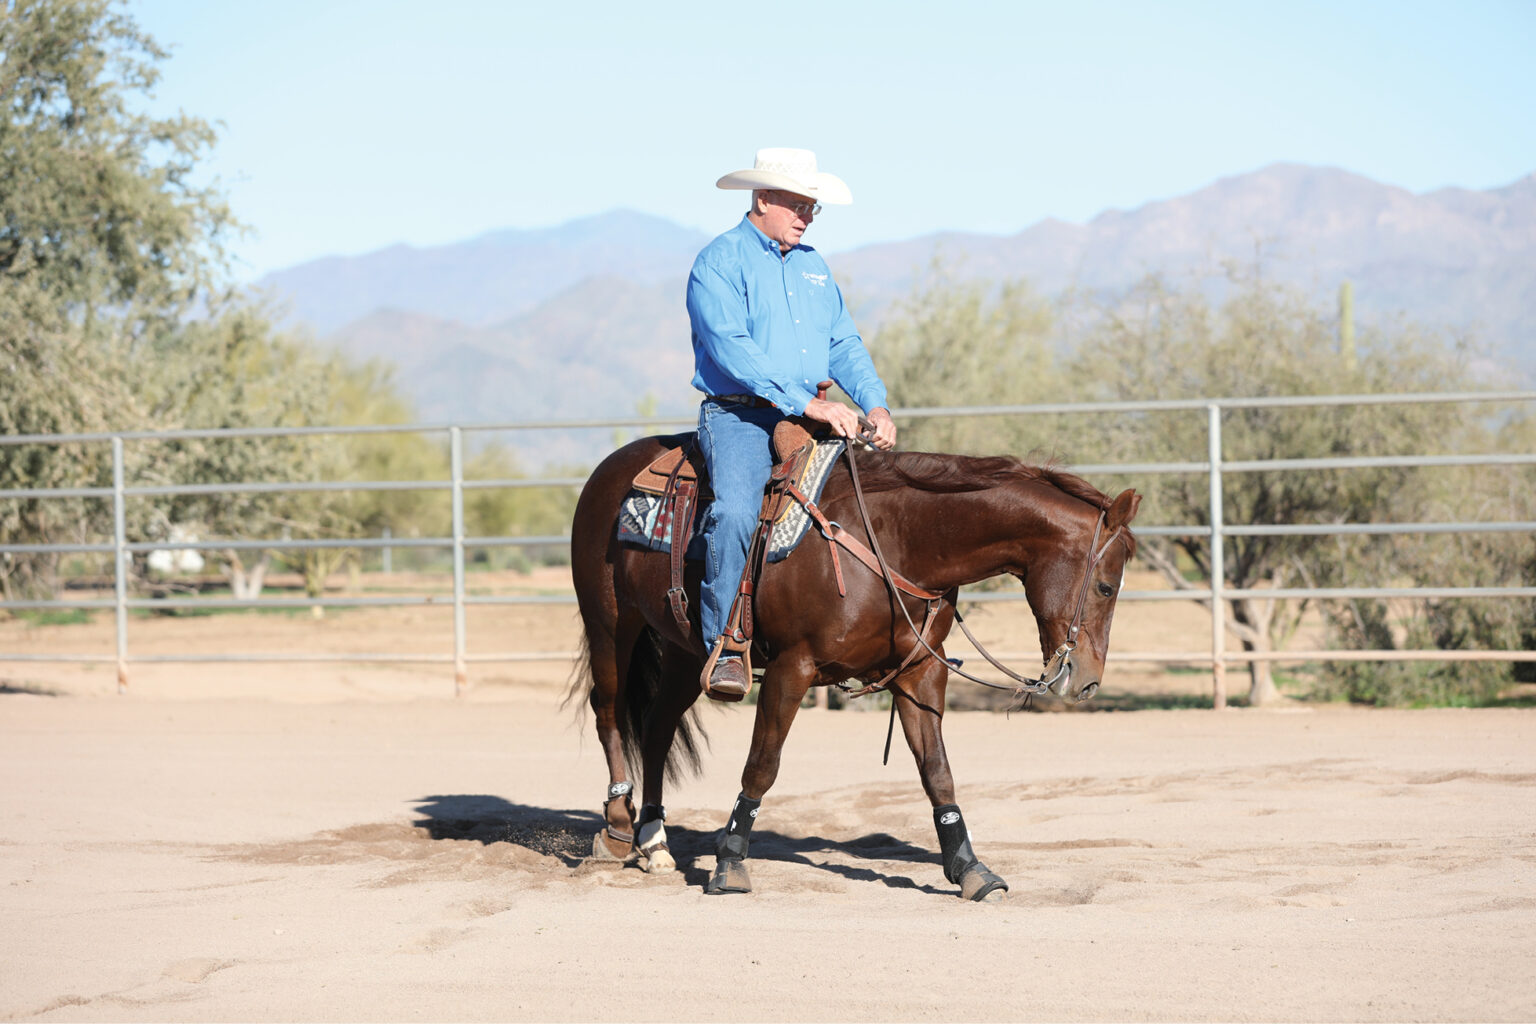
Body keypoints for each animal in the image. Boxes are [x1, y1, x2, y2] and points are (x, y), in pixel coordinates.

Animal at [568, 432, 1140, 900]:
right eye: (1106, 586)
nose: (1087, 681)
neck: (896, 540)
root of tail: (610, 468)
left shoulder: (920, 673)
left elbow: (938, 772)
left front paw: (970, 869)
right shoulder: (792, 668)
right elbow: (763, 763)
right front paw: (730, 862)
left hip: (689, 653)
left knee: (657, 728)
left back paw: (655, 842)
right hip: (610, 625)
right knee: (609, 713)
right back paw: (617, 829)